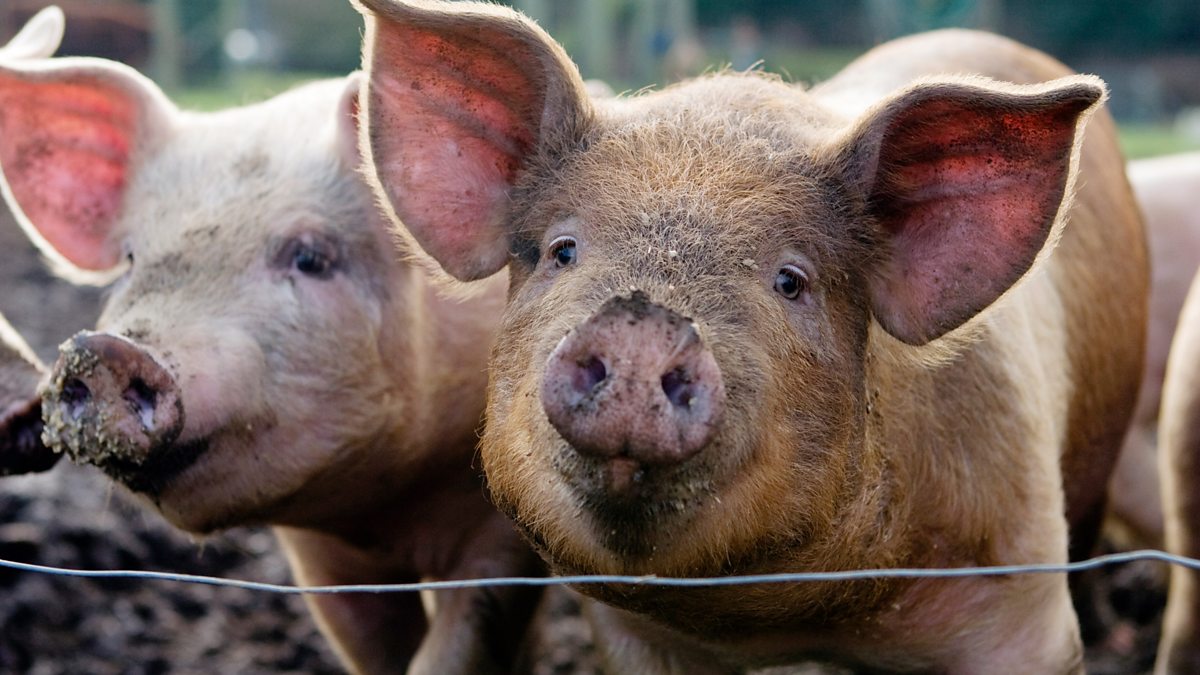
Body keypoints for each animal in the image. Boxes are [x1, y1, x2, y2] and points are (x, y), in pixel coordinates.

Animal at [0, 33, 540, 675]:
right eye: (131, 259)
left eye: (310, 257)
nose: (105, 351)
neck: (387, 508)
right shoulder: (324, 564)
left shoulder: (500, 534)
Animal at [356, 1, 1148, 672]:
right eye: (562, 251)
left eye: (791, 280)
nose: (642, 318)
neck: (786, 620)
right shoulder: (630, 634)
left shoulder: (1021, 594)